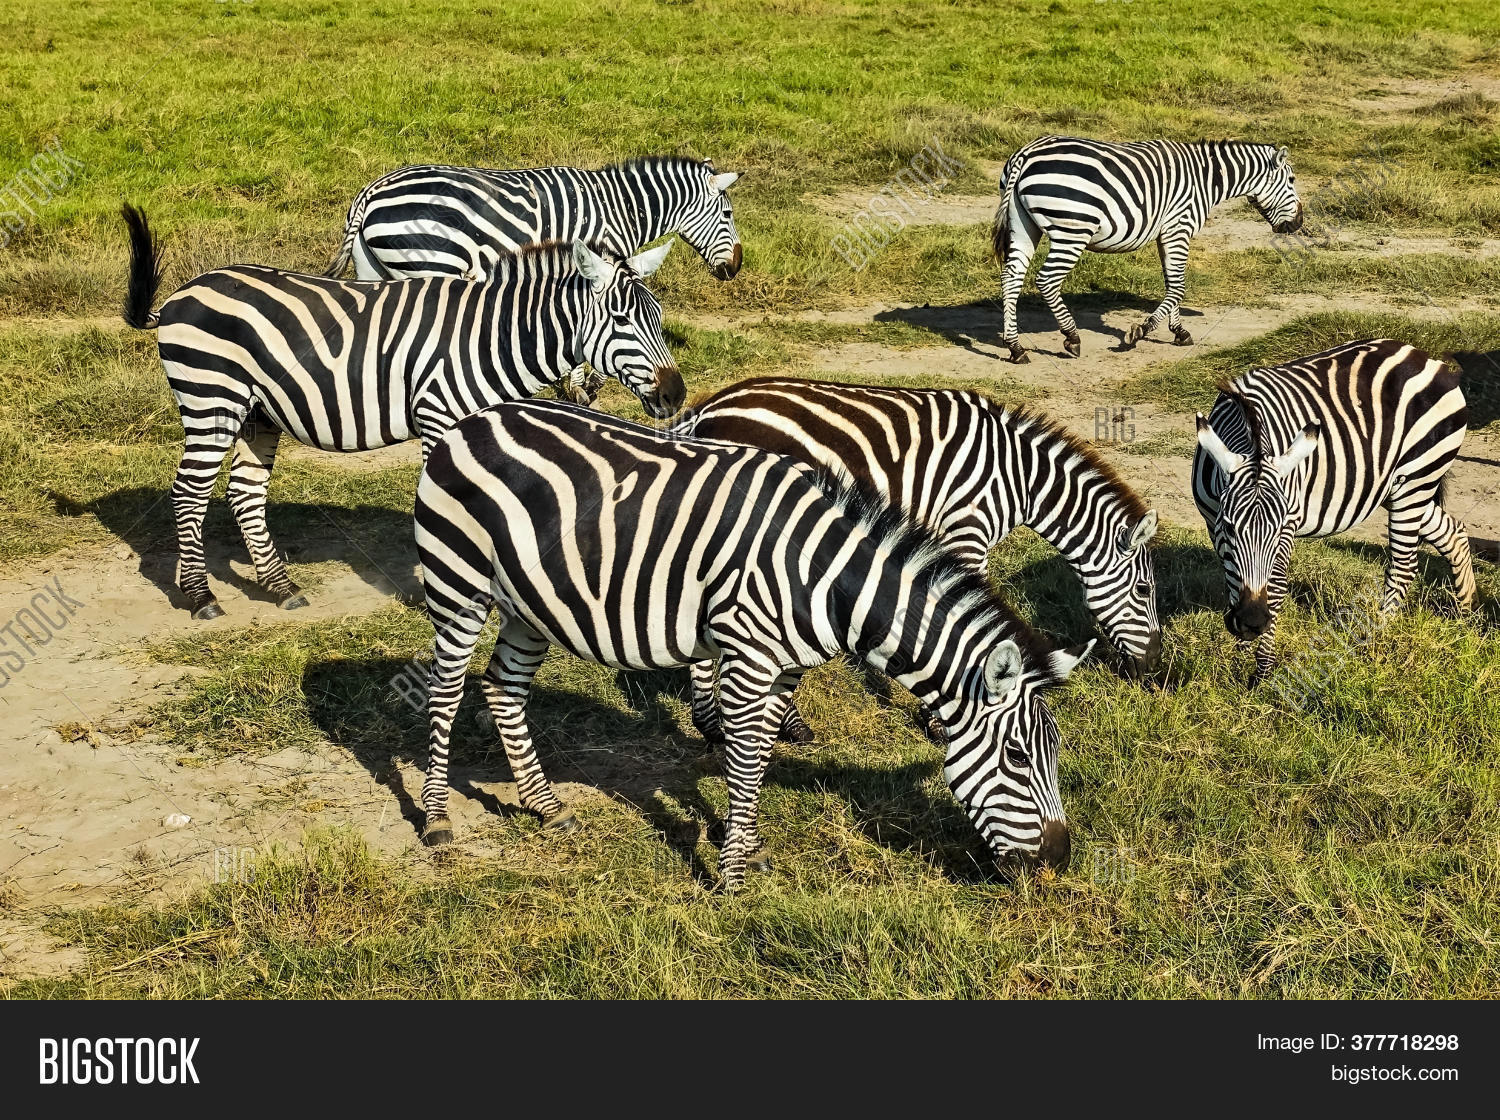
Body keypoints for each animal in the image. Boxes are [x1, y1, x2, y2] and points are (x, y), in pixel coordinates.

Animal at [120, 203, 683, 621]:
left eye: (657, 316)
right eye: (621, 319)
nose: (676, 395)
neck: (492, 337)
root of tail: (182, 294)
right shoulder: (439, 416)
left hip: (259, 412)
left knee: (244, 492)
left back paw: (281, 588)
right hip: (210, 398)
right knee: (189, 491)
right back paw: (200, 596)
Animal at [413, 399, 1094, 891]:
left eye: (1055, 752)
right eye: (1016, 758)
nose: (1059, 861)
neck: (824, 578)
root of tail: (475, 419)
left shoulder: (784, 668)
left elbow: (761, 754)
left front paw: (749, 845)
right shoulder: (745, 656)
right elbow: (742, 762)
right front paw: (732, 879)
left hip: (529, 603)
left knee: (504, 689)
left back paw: (547, 806)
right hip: (459, 583)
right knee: (446, 691)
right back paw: (438, 821)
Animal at [676, 377, 1160, 743]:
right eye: (1144, 590)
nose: (1155, 671)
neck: (1019, 479)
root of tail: (708, 407)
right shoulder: (967, 531)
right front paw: (941, 719)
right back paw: (723, 724)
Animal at [992, 136, 1304, 363]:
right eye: (1291, 181)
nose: (1299, 223)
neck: (1206, 180)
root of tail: (1027, 153)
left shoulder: (1166, 233)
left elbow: (1171, 283)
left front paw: (1179, 332)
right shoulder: (1179, 228)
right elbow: (1178, 287)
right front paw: (1141, 330)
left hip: (1023, 224)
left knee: (1011, 278)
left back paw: (1015, 348)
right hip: (1072, 229)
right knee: (1047, 280)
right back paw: (1072, 338)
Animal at [1192, 339, 1476, 684]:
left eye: (1279, 531)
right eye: (1230, 527)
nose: (1252, 621)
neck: (1251, 424)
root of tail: (1424, 356)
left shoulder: (1289, 524)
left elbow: (1275, 589)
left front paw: (1262, 671)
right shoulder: (1213, 523)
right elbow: (1234, 583)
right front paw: (1240, 657)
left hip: (1416, 478)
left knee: (1403, 567)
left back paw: (1378, 639)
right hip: (1398, 488)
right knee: (1454, 533)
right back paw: (1465, 615)